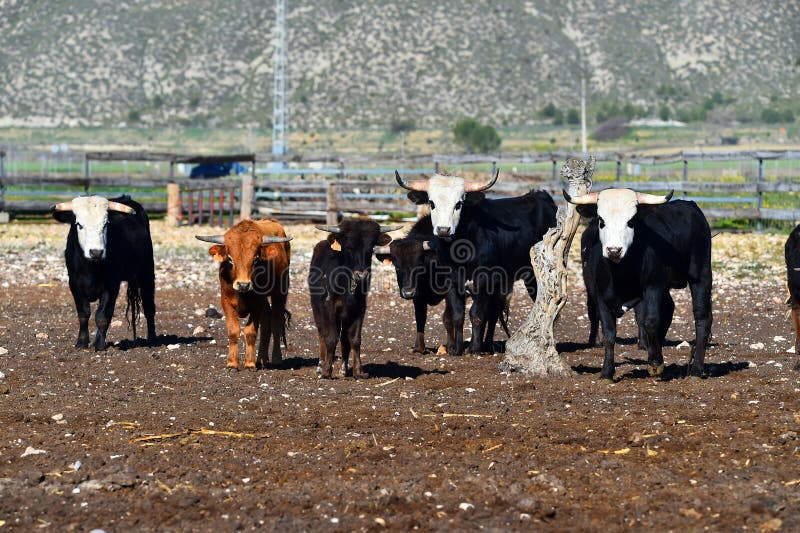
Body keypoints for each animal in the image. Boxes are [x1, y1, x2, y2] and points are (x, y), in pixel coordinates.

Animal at [52, 195, 156, 351]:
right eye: (79, 224)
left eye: (105, 224)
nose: (96, 252)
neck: (91, 269)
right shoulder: (74, 283)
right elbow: (83, 313)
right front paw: (82, 343)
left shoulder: (111, 285)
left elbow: (102, 316)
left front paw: (100, 345)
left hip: (147, 271)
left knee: (149, 307)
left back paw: (152, 340)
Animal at [196, 219, 292, 371]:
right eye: (230, 259)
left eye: (256, 259)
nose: (243, 284)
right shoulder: (226, 301)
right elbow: (233, 331)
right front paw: (232, 363)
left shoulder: (257, 303)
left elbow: (250, 331)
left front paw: (249, 363)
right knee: (266, 322)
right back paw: (262, 359)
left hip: (280, 291)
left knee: (276, 321)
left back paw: (276, 359)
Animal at [308, 219, 401, 378]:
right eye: (349, 247)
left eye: (370, 248)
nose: (361, 275)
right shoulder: (328, 307)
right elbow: (330, 337)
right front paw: (327, 371)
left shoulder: (359, 309)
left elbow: (355, 339)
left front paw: (358, 371)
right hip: (317, 308)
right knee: (322, 333)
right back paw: (321, 365)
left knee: (344, 338)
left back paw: (344, 369)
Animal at [396, 170, 557, 355]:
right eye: (431, 202)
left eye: (459, 204)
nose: (443, 230)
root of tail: (540, 195)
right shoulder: (452, 281)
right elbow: (458, 315)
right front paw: (457, 349)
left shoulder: (484, 280)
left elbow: (477, 314)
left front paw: (473, 348)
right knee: (494, 312)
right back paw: (487, 345)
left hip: (536, 276)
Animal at [566, 188, 712, 381]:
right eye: (601, 221)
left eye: (631, 222)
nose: (614, 250)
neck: (621, 271)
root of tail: (690, 205)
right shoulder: (600, 294)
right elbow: (609, 333)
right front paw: (606, 372)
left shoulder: (652, 287)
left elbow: (650, 321)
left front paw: (656, 363)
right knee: (669, 308)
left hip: (701, 274)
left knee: (702, 317)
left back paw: (696, 369)